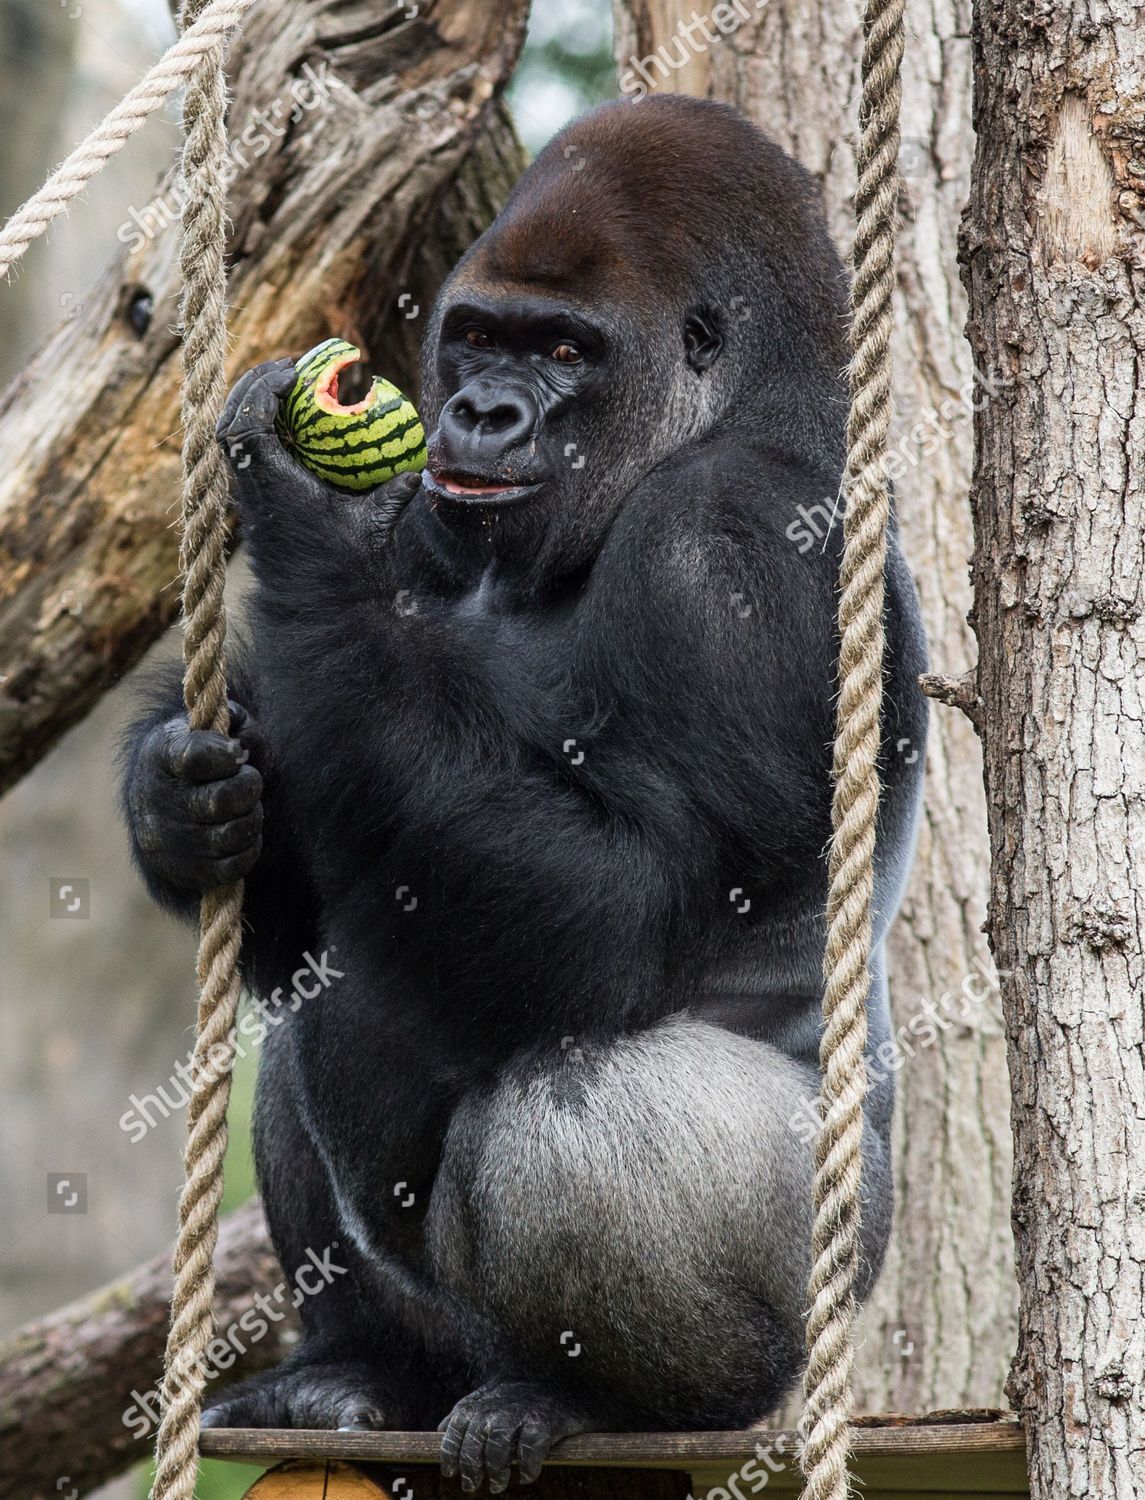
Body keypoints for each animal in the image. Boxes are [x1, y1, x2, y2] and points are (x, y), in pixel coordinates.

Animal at [122, 94, 928, 1492]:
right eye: (479, 337)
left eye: (562, 350)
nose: (485, 413)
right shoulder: (440, 536)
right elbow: (323, 887)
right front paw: (179, 796)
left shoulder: (735, 548)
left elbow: (618, 916)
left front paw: (306, 513)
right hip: (440, 1334)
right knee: (321, 1020)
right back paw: (362, 1372)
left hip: (813, 1288)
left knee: (581, 1112)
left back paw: (586, 1401)